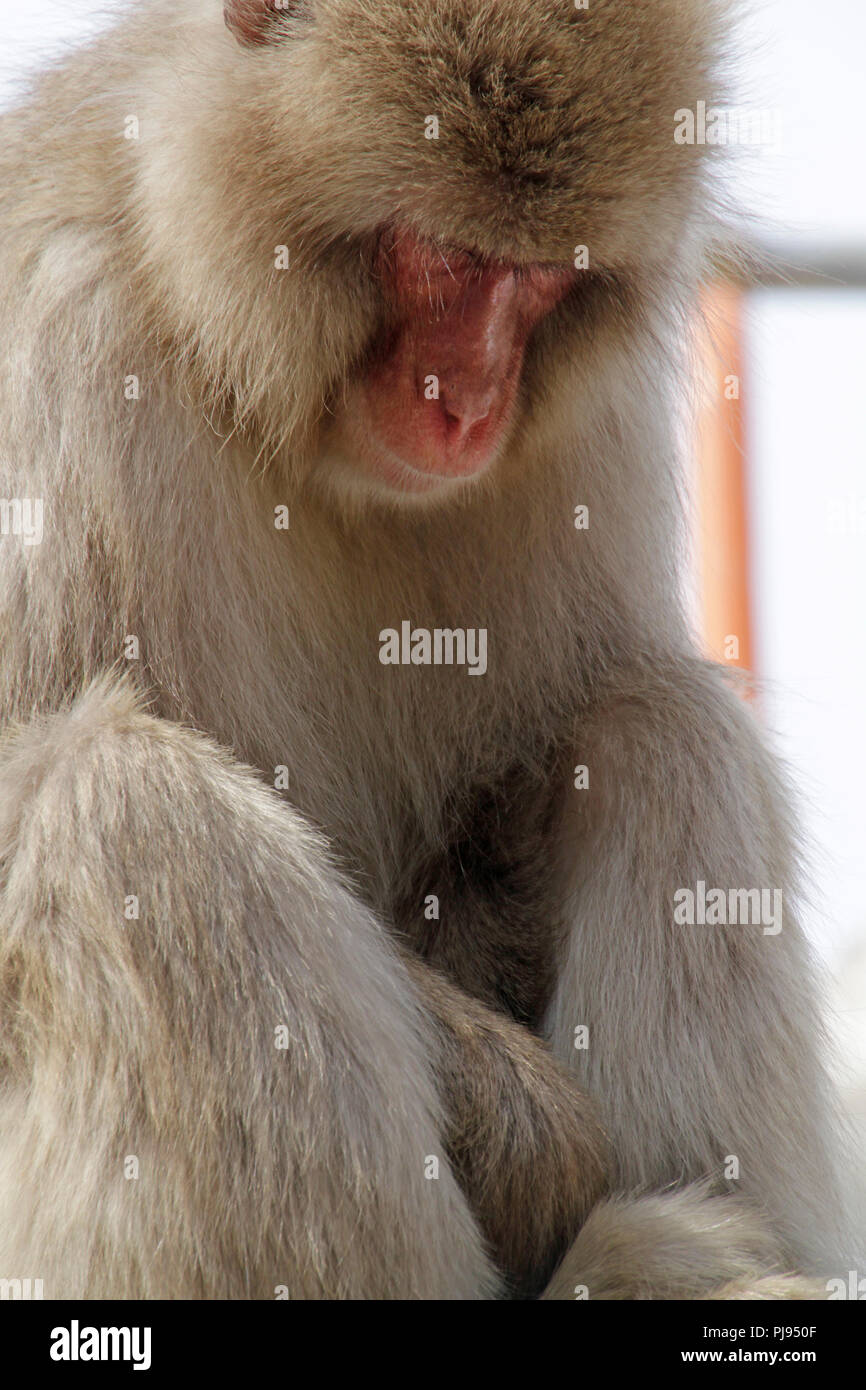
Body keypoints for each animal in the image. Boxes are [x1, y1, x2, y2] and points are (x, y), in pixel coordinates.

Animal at [0, 0, 853, 1298]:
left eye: (545, 277)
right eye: (445, 255)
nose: (471, 403)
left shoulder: (583, 441)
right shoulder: (60, 348)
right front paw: (531, 1131)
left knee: (662, 728)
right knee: (124, 804)